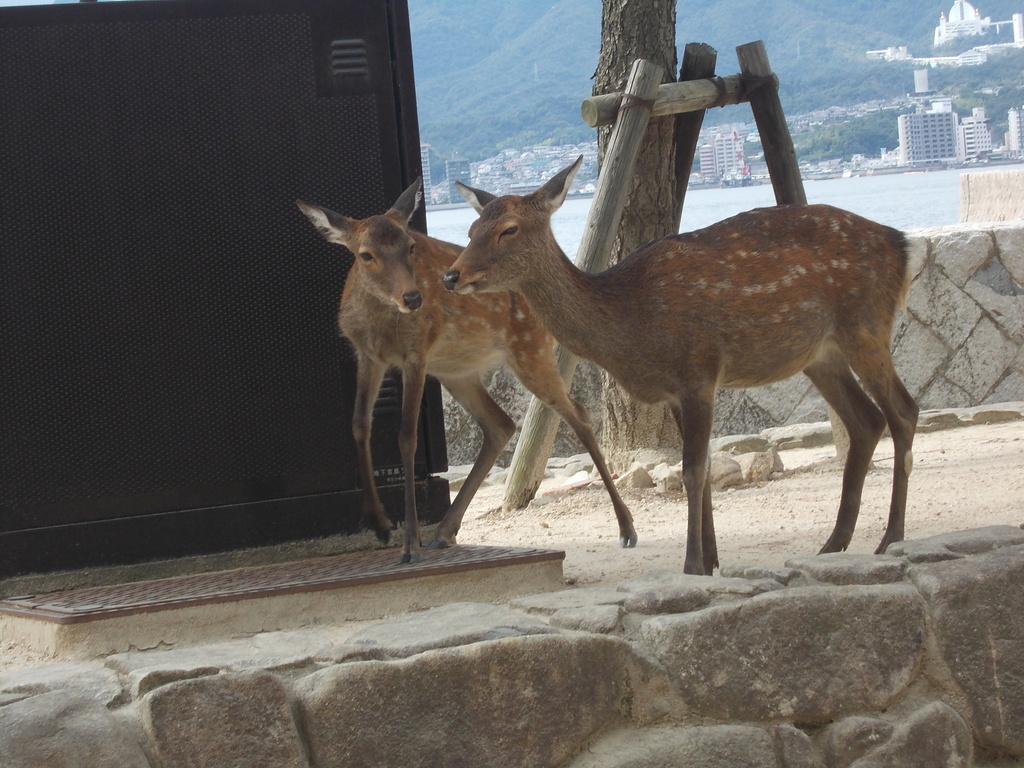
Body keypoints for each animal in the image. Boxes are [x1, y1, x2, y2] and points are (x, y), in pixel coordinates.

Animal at [296, 178, 636, 564]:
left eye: (411, 245)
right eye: (365, 254)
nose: (413, 299)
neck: (380, 325)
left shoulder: (417, 352)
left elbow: (406, 437)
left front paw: (408, 543)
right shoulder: (368, 356)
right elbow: (358, 425)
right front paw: (380, 524)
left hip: (528, 349)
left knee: (576, 413)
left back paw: (626, 527)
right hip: (456, 371)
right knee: (501, 424)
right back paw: (444, 531)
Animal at [443, 156, 920, 575]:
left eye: (509, 229)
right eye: (470, 229)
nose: (451, 275)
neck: (631, 324)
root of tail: (903, 246)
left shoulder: (699, 369)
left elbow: (693, 469)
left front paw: (692, 564)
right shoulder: (673, 390)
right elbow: (702, 470)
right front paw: (710, 561)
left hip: (866, 324)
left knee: (903, 411)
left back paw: (891, 536)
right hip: (820, 353)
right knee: (866, 420)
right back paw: (834, 542)